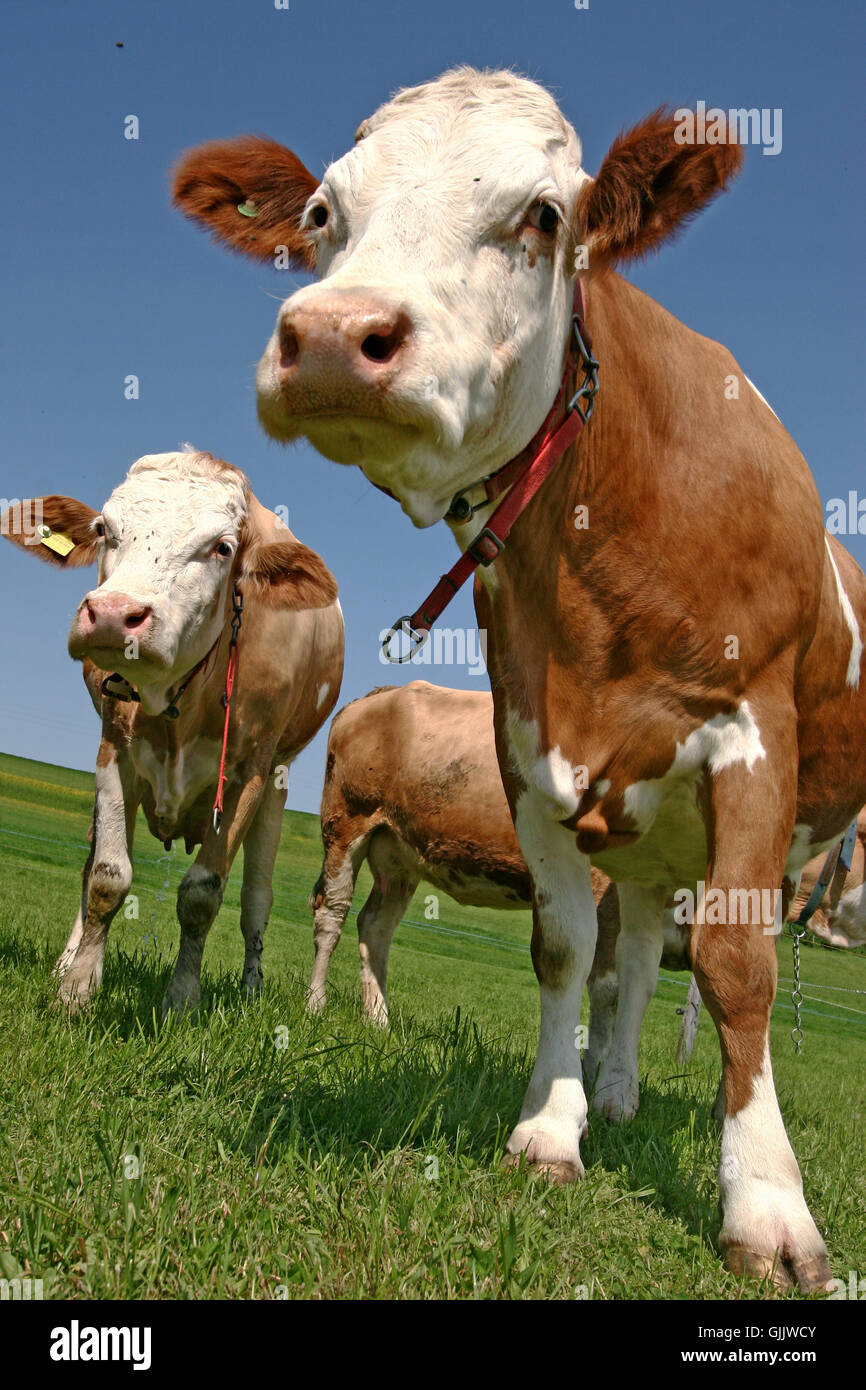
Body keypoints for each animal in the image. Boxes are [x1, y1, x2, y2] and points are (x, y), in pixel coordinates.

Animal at [2, 449, 343, 1015]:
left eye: (222, 547)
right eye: (104, 529)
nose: (113, 615)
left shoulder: (248, 774)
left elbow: (204, 894)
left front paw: (182, 1000)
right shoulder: (114, 751)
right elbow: (105, 876)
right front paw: (77, 988)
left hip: (277, 782)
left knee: (256, 899)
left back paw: (251, 990)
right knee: (91, 864)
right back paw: (65, 961)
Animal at [171, 68, 866, 1290]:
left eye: (543, 216)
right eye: (322, 216)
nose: (334, 337)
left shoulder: (752, 739)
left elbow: (736, 968)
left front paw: (768, 1207)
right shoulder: (527, 750)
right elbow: (564, 951)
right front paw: (551, 1128)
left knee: (660, 959)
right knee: (618, 955)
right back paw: (615, 1091)